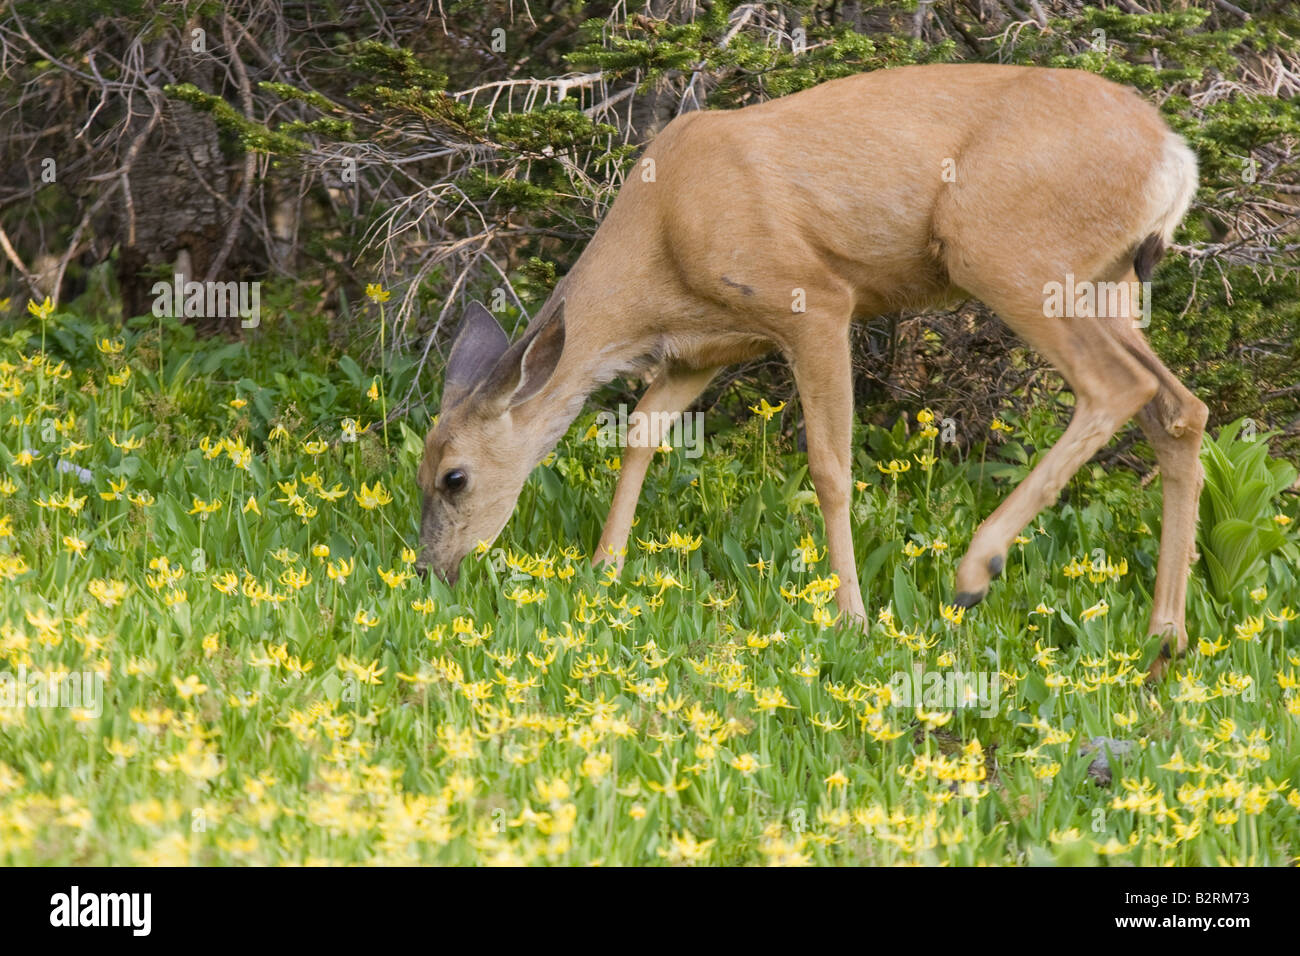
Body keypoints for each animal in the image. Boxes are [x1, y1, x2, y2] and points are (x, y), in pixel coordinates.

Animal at [415, 63, 1206, 679]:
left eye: (455, 478)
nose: (429, 572)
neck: (661, 245)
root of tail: (1175, 155)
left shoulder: (816, 301)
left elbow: (829, 466)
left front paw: (852, 617)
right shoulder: (708, 346)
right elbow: (641, 432)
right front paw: (604, 570)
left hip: (1006, 250)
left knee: (1118, 386)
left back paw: (975, 571)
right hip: (1109, 282)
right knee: (1179, 410)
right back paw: (1165, 639)